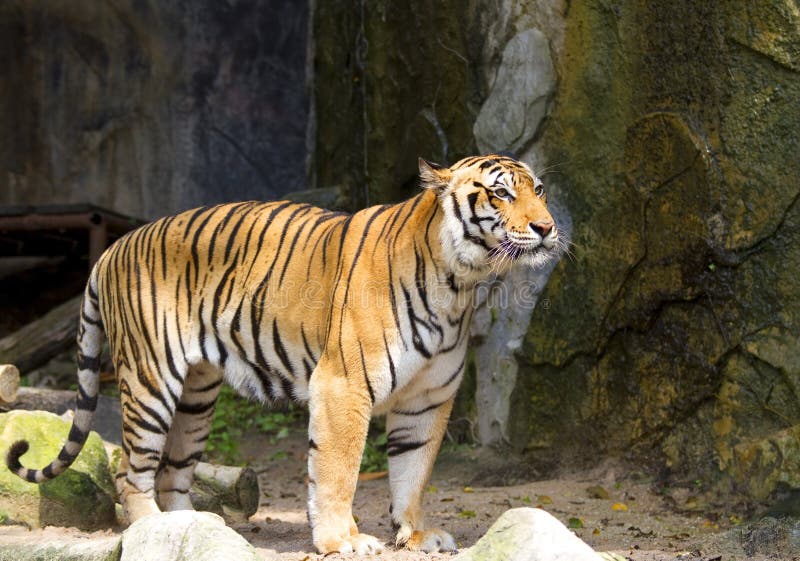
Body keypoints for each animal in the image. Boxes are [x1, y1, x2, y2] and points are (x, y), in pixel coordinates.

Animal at [6, 154, 560, 554]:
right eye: (500, 192)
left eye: (538, 190)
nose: (547, 228)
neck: (459, 284)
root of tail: (111, 248)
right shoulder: (343, 386)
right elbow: (338, 470)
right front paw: (342, 540)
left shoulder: (427, 398)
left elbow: (413, 471)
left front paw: (416, 533)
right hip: (150, 382)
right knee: (132, 471)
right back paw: (151, 530)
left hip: (196, 397)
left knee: (172, 470)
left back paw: (191, 527)